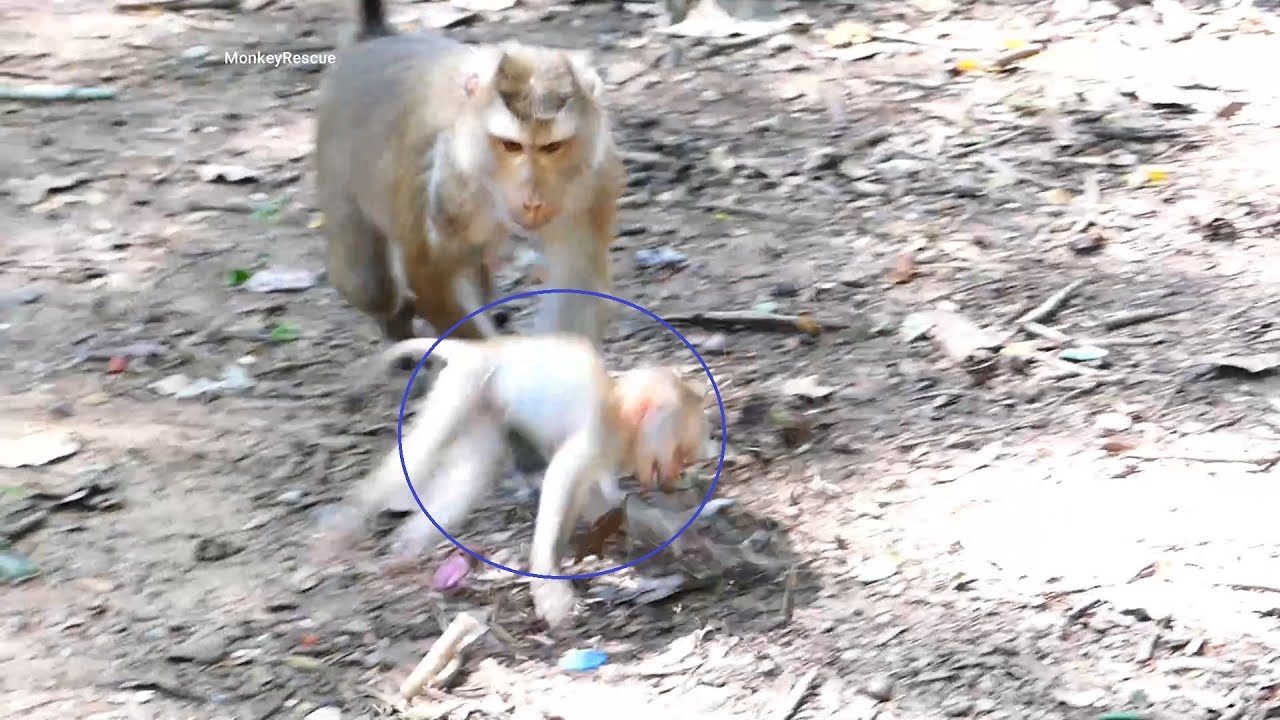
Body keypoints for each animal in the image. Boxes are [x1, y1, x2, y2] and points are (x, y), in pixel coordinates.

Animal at [315, 0, 626, 346]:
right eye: (511, 145)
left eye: (552, 147)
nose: (533, 200)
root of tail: (374, 39)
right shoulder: (451, 181)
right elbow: (430, 273)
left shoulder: (594, 180)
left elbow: (578, 275)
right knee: (371, 287)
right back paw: (398, 324)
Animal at [315, 334, 711, 629]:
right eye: (679, 453)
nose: (675, 478)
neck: (617, 414)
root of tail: (486, 347)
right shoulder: (596, 436)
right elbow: (560, 481)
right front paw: (550, 588)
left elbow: (596, 501)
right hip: (469, 379)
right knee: (426, 446)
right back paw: (346, 527)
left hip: (484, 404)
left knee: (470, 475)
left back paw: (406, 546)